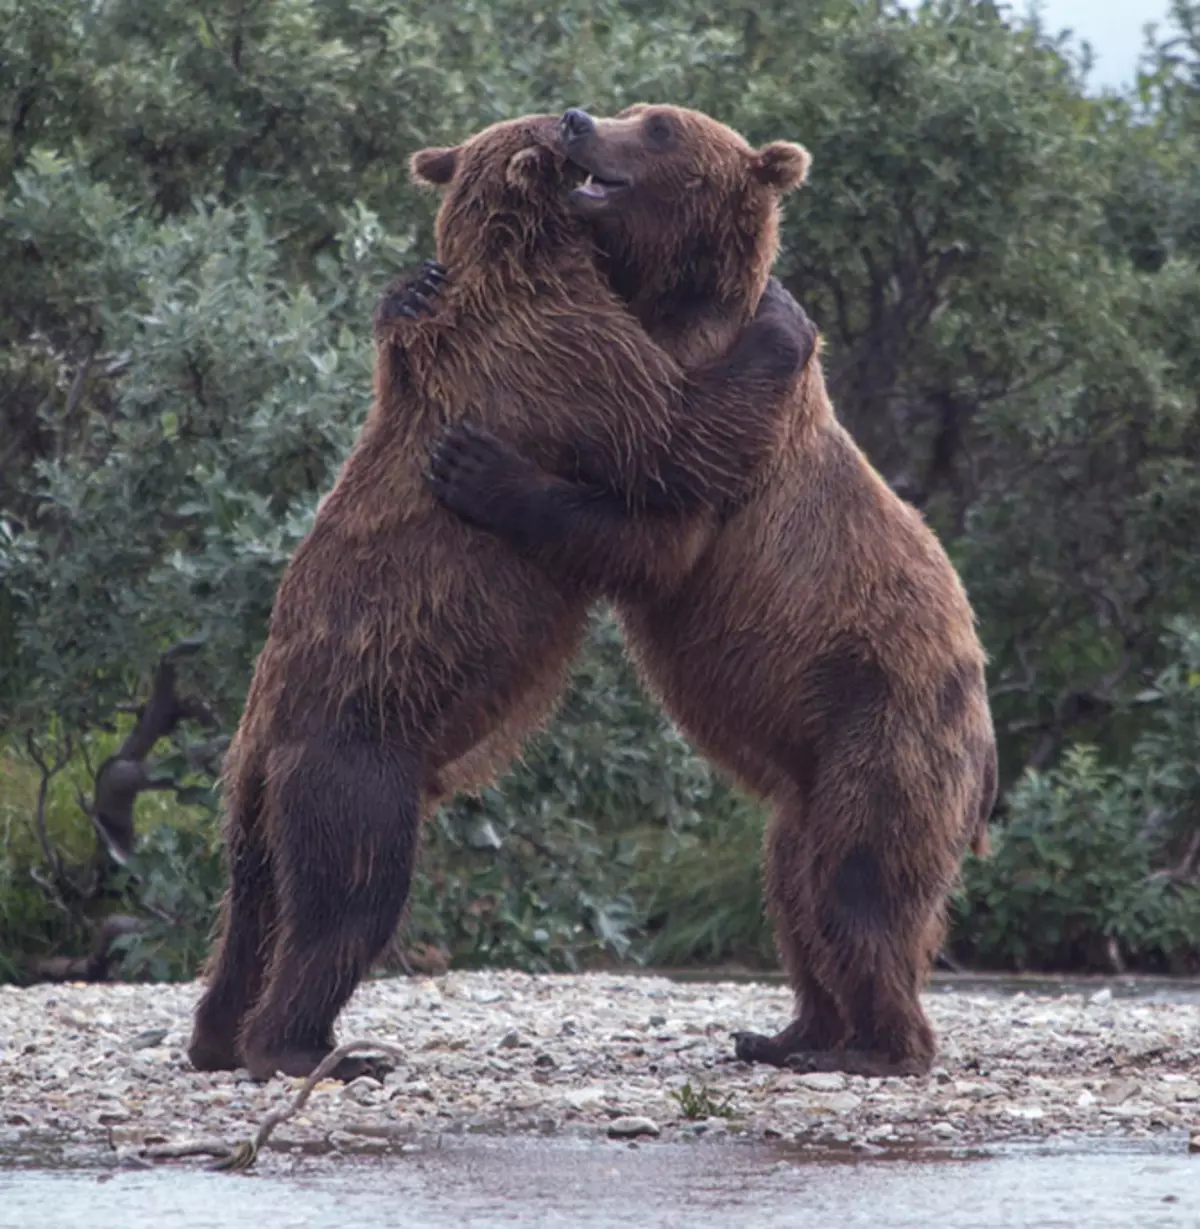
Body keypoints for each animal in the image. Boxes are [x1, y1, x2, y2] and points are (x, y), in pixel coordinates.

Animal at [186, 110, 816, 1081]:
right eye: (559, 127)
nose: (576, 114)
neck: (524, 262)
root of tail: (261, 747)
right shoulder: (567, 356)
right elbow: (673, 434)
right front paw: (779, 322)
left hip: (254, 795)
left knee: (252, 906)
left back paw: (218, 1035)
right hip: (355, 757)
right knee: (349, 897)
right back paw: (312, 1046)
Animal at [425, 108, 998, 1086]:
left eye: (657, 129)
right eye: (633, 108)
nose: (579, 119)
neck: (671, 304)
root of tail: (991, 737)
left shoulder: (714, 430)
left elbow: (655, 524)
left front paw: (480, 467)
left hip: (886, 725)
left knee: (860, 882)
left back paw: (877, 1046)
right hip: (811, 782)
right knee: (794, 889)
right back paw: (789, 1031)